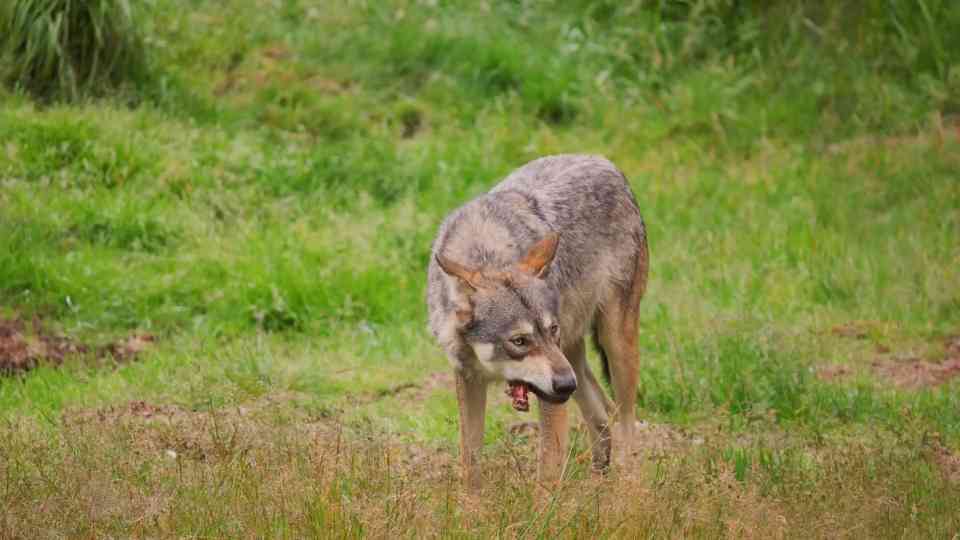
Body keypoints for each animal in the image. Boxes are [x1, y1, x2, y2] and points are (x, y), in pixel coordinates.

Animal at [426, 154, 649, 489]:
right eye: (519, 341)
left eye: (550, 329)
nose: (565, 383)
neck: (486, 251)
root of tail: (603, 161)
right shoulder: (468, 377)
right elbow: (470, 464)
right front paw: (469, 505)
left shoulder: (553, 394)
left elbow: (546, 474)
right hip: (573, 359)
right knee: (603, 417)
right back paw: (598, 485)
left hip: (609, 347)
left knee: (625, 423)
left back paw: (627, 490)